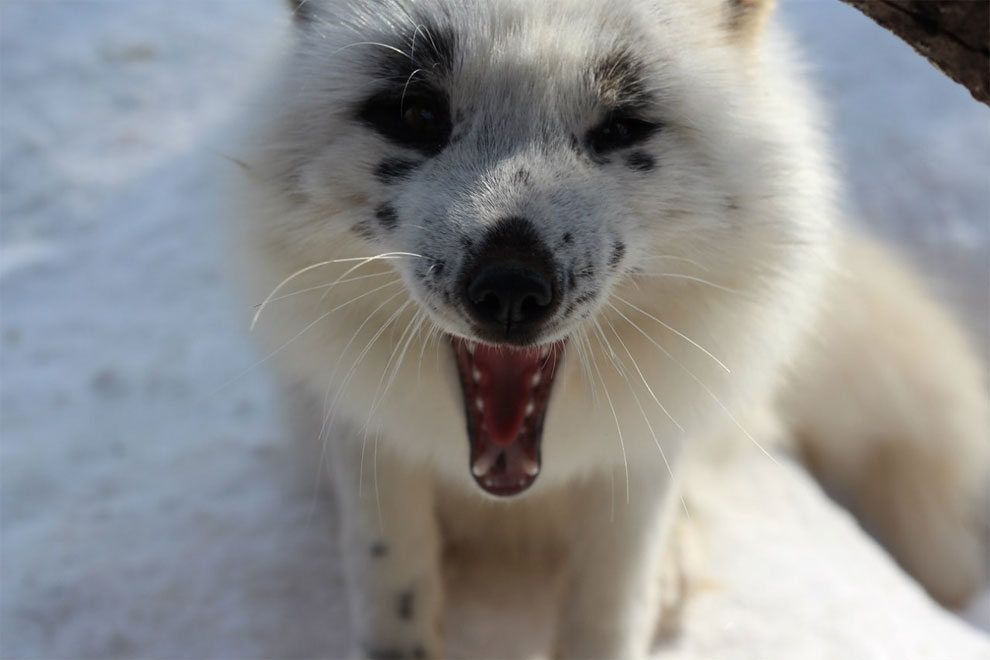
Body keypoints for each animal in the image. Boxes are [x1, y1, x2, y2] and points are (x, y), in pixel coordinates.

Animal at [225, 0, 989, 657]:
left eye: (621, 128)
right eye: (417, 112)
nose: (510, 289)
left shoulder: (644, 457)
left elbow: (610, 612)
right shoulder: (367, 434)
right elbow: (393, 590)